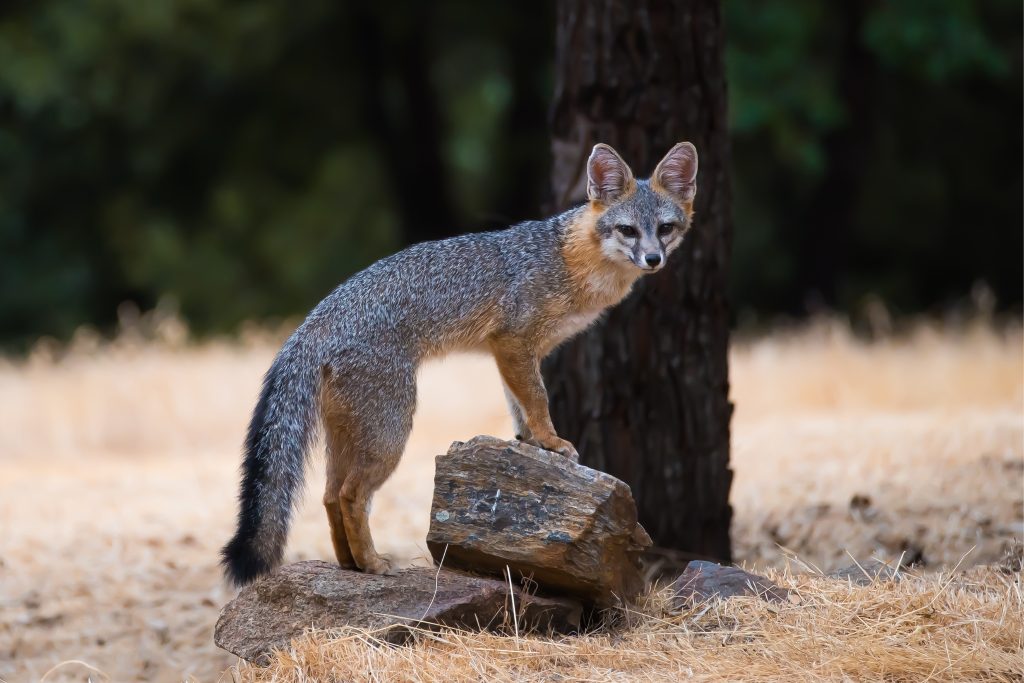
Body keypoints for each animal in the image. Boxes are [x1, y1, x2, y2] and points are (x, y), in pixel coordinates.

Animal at [221, 141, 698, 585]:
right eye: (628, 230)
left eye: (665, 228)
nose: (653, 259)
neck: (572, 260)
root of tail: (314, 321)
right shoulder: (513, 341)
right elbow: (538, 399)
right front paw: (552, 441)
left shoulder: (517, 352)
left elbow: (519, 405)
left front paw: (530, 443)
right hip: (390, 432)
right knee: (350, 496)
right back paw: (373, 565)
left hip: (351, 434)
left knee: (328, 495)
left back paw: (349, 564)